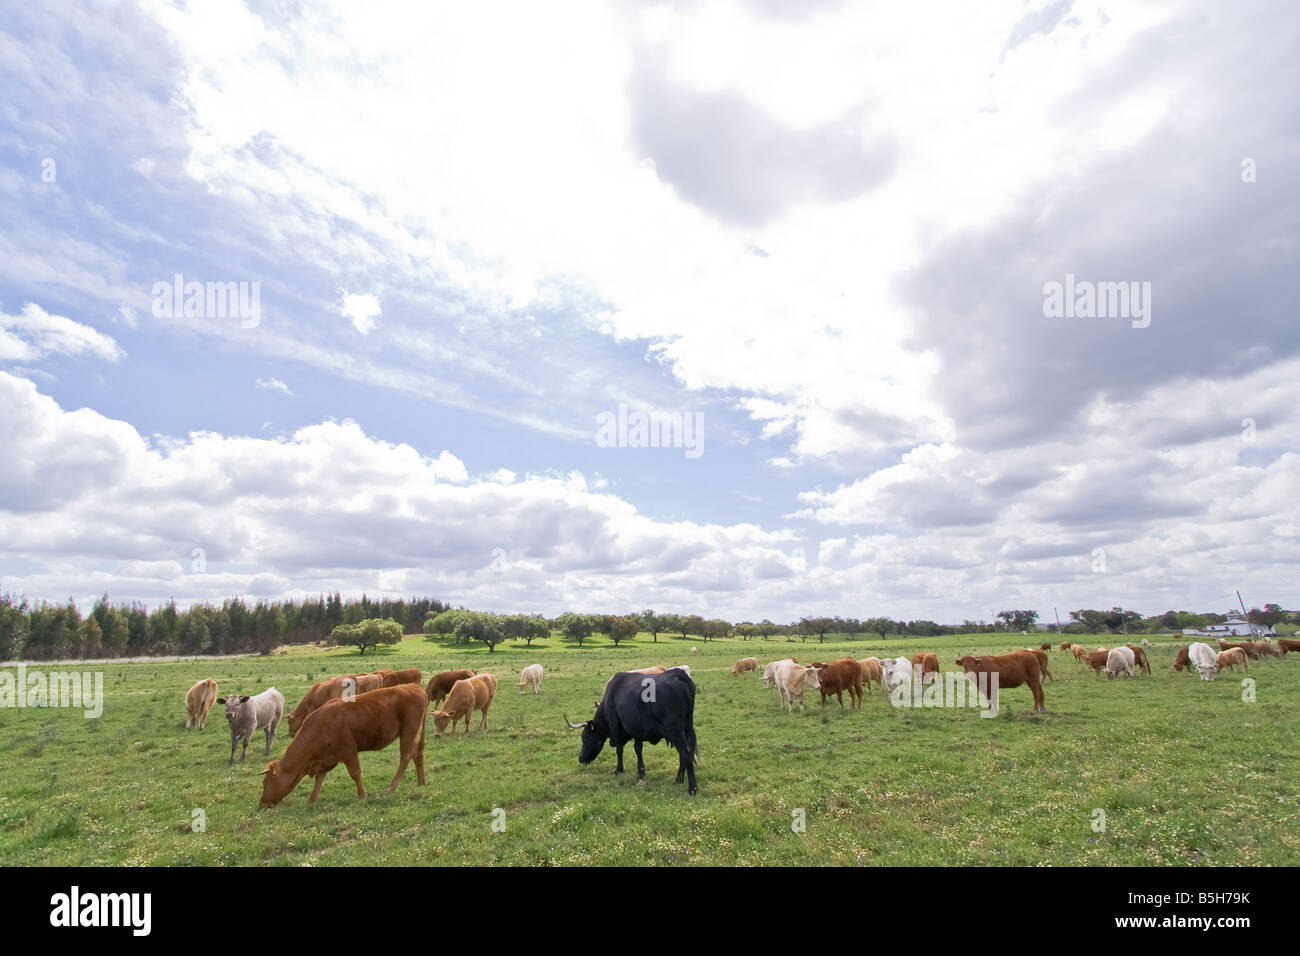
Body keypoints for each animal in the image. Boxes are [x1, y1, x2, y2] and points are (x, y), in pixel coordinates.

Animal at [257, 683, 427, 807]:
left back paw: (392, 787)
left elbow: (355, 773)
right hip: (413, 734)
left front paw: (362, 795)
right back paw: (420, 783)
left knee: (405, 757)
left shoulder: (348, 751)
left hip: (408, 732)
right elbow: (319, 778)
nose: (262, 805)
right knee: (417, 754)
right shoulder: (326, 758)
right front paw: (312, 799)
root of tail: (415, 687)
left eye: (266, 783)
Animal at [565, 668, 697, 794]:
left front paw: (618, 769)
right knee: (685, 753)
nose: (580, 758)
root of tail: (677, 673)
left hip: (675, 731)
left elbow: (619, 750)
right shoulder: (637, 730)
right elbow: (638, 749)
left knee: (685, 752)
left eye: (585, 738)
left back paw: (692, 788)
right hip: (685, 729)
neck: (610, 696)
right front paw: (640, 772)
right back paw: (678, 780)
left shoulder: (616, 728)